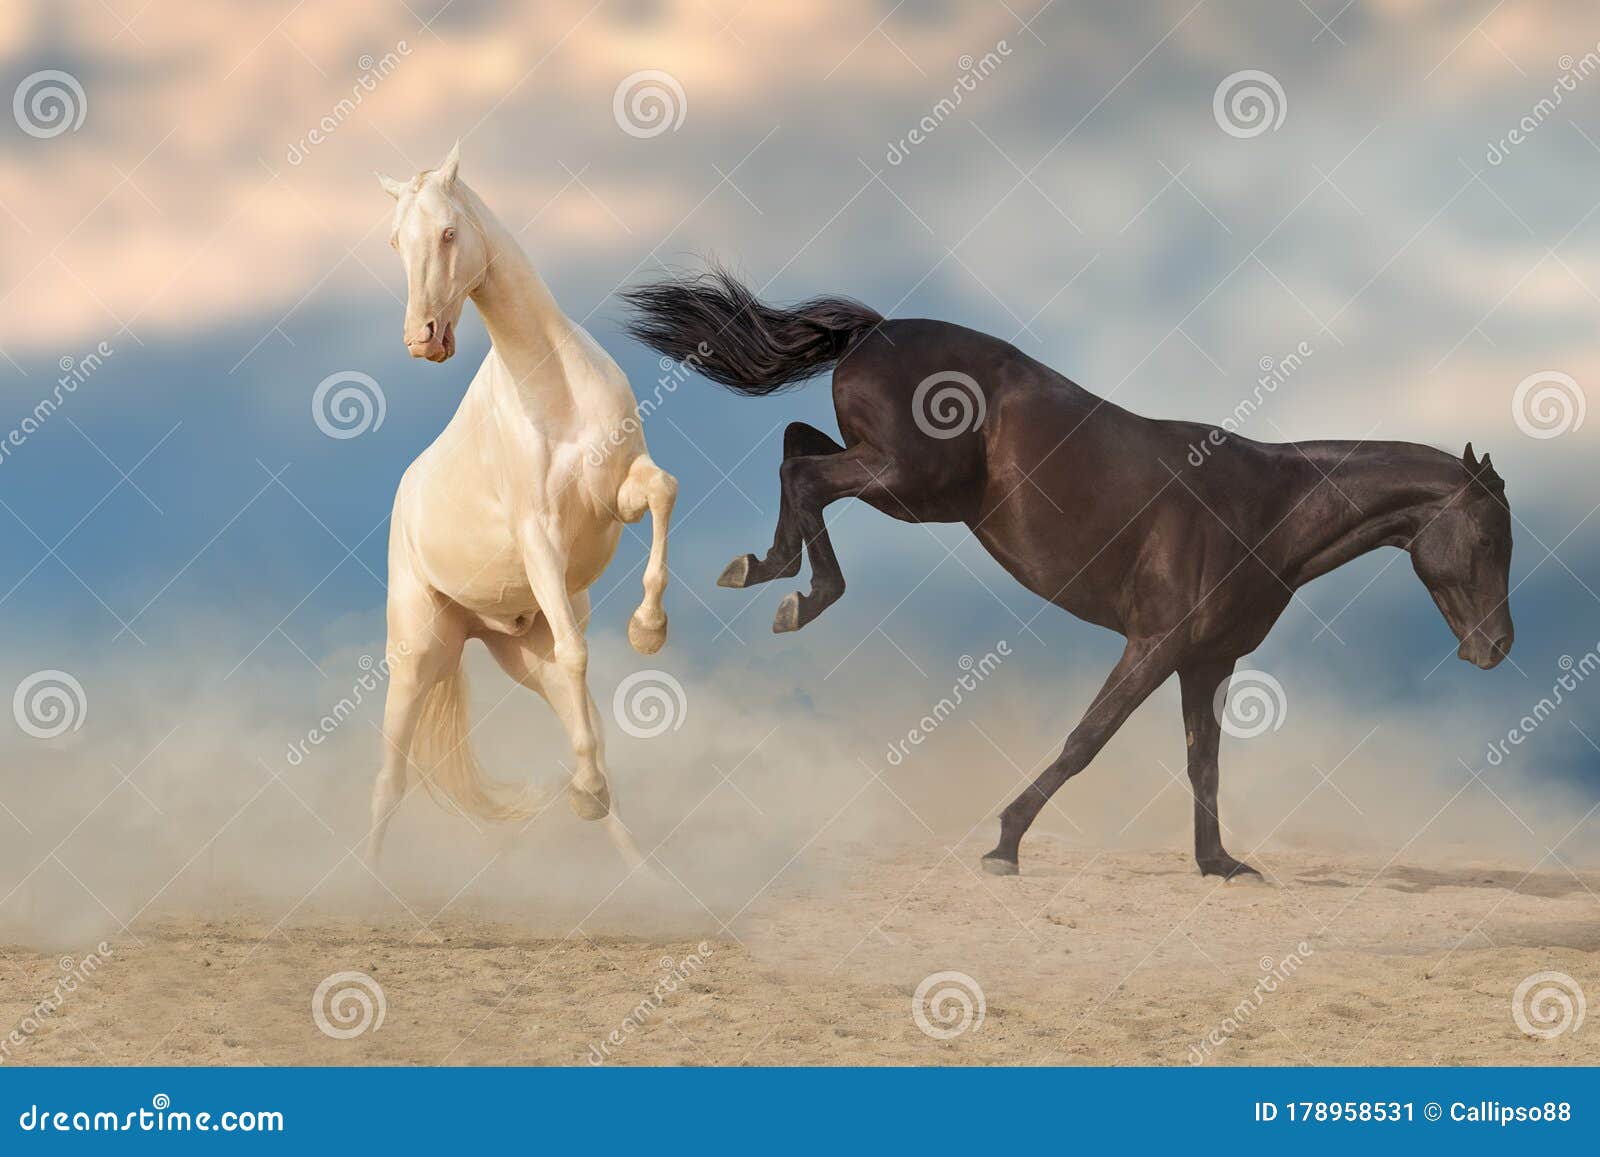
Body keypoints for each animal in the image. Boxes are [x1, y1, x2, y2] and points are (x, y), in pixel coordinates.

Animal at [365, 143, 678, 871]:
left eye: (449, 231)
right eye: (395, 240)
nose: (422, 337)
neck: (553, 386)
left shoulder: (619, 494)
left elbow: (663, 491)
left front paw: (648, 628)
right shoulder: (540, 539)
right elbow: (578, 650)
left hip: (522, 658)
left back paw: (641, 864)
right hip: (416, 660)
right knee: (388, 782)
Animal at [622, 266, 1514, 879]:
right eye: (1490, 536)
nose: (1498, 647)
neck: (1261, 508)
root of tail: (876, 331)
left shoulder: (1206, 660)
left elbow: (1205, 760)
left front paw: (1220, 864)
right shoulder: (1154, 645)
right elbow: (1087, 739)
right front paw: (1005, 843)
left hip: (905, 485)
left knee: (796, 448)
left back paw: (768, 573)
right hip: (913, 484)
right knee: (805, 472)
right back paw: (798, 592)